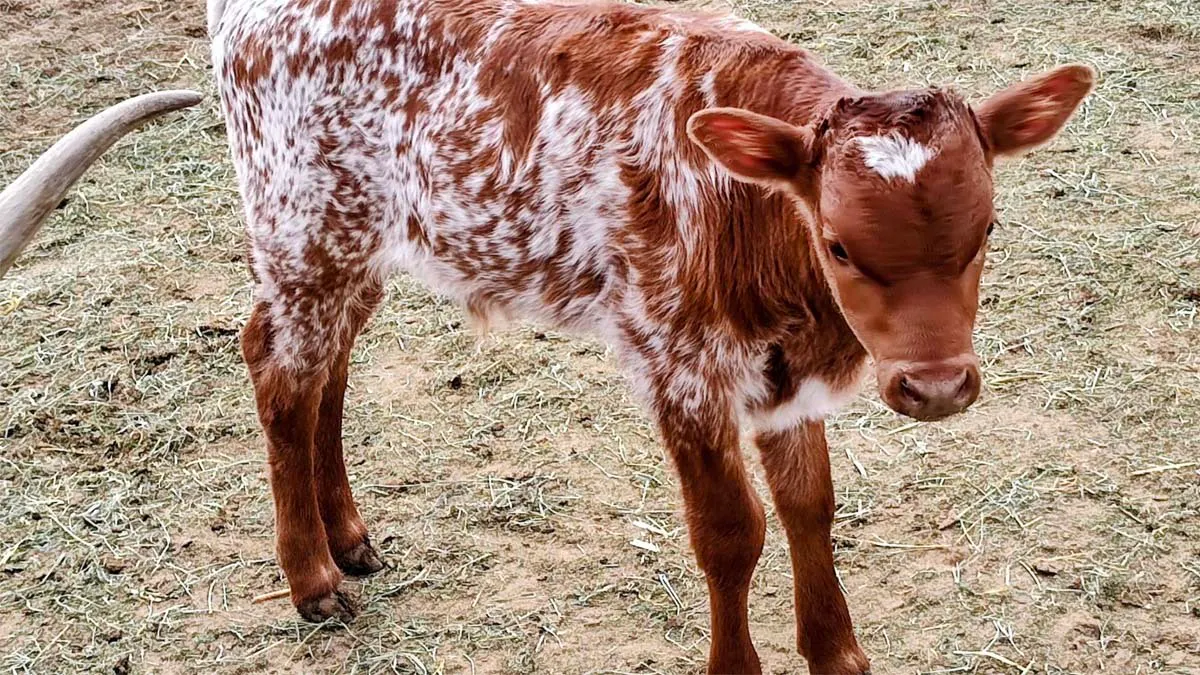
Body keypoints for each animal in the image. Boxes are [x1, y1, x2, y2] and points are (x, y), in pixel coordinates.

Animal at [213, 0, 1094, 673]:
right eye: (838, 244)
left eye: (985, 229)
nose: (936, 385)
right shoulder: (679, 362)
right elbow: (733, 531)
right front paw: (736, 665)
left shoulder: (784, 371)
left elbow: (810, 502)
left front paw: (838, 653)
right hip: (301, 228)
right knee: (279, 372)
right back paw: (312, 575)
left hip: (358, 243)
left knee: (327, 369)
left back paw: (349, 536)